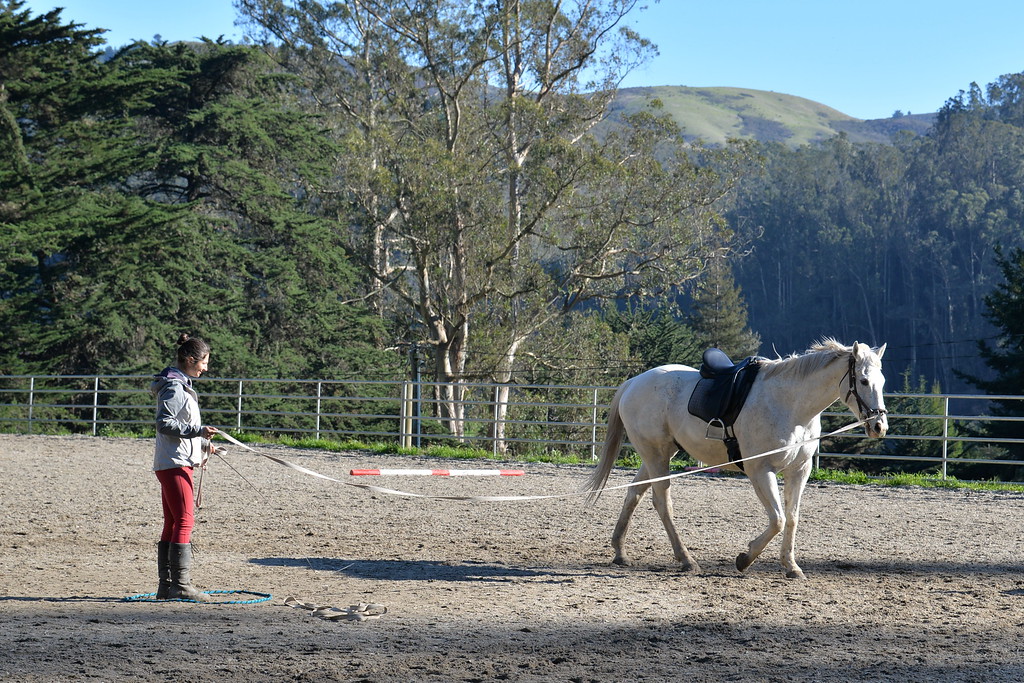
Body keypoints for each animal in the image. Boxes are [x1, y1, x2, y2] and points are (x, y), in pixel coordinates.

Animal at [584, 339, 888, 579]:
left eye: (882, 382)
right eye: (863, 381)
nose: (879, 426)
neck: (789, 405)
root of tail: (634, 382)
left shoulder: (798, 471)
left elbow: (791, 518)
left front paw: (791, 566)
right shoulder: (760, 470)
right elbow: (777, 519)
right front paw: (745, 558)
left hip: (658, 454)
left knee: (634, 493)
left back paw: (620, 552)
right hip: (656, 455)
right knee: (662, 503)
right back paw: (686, 559)